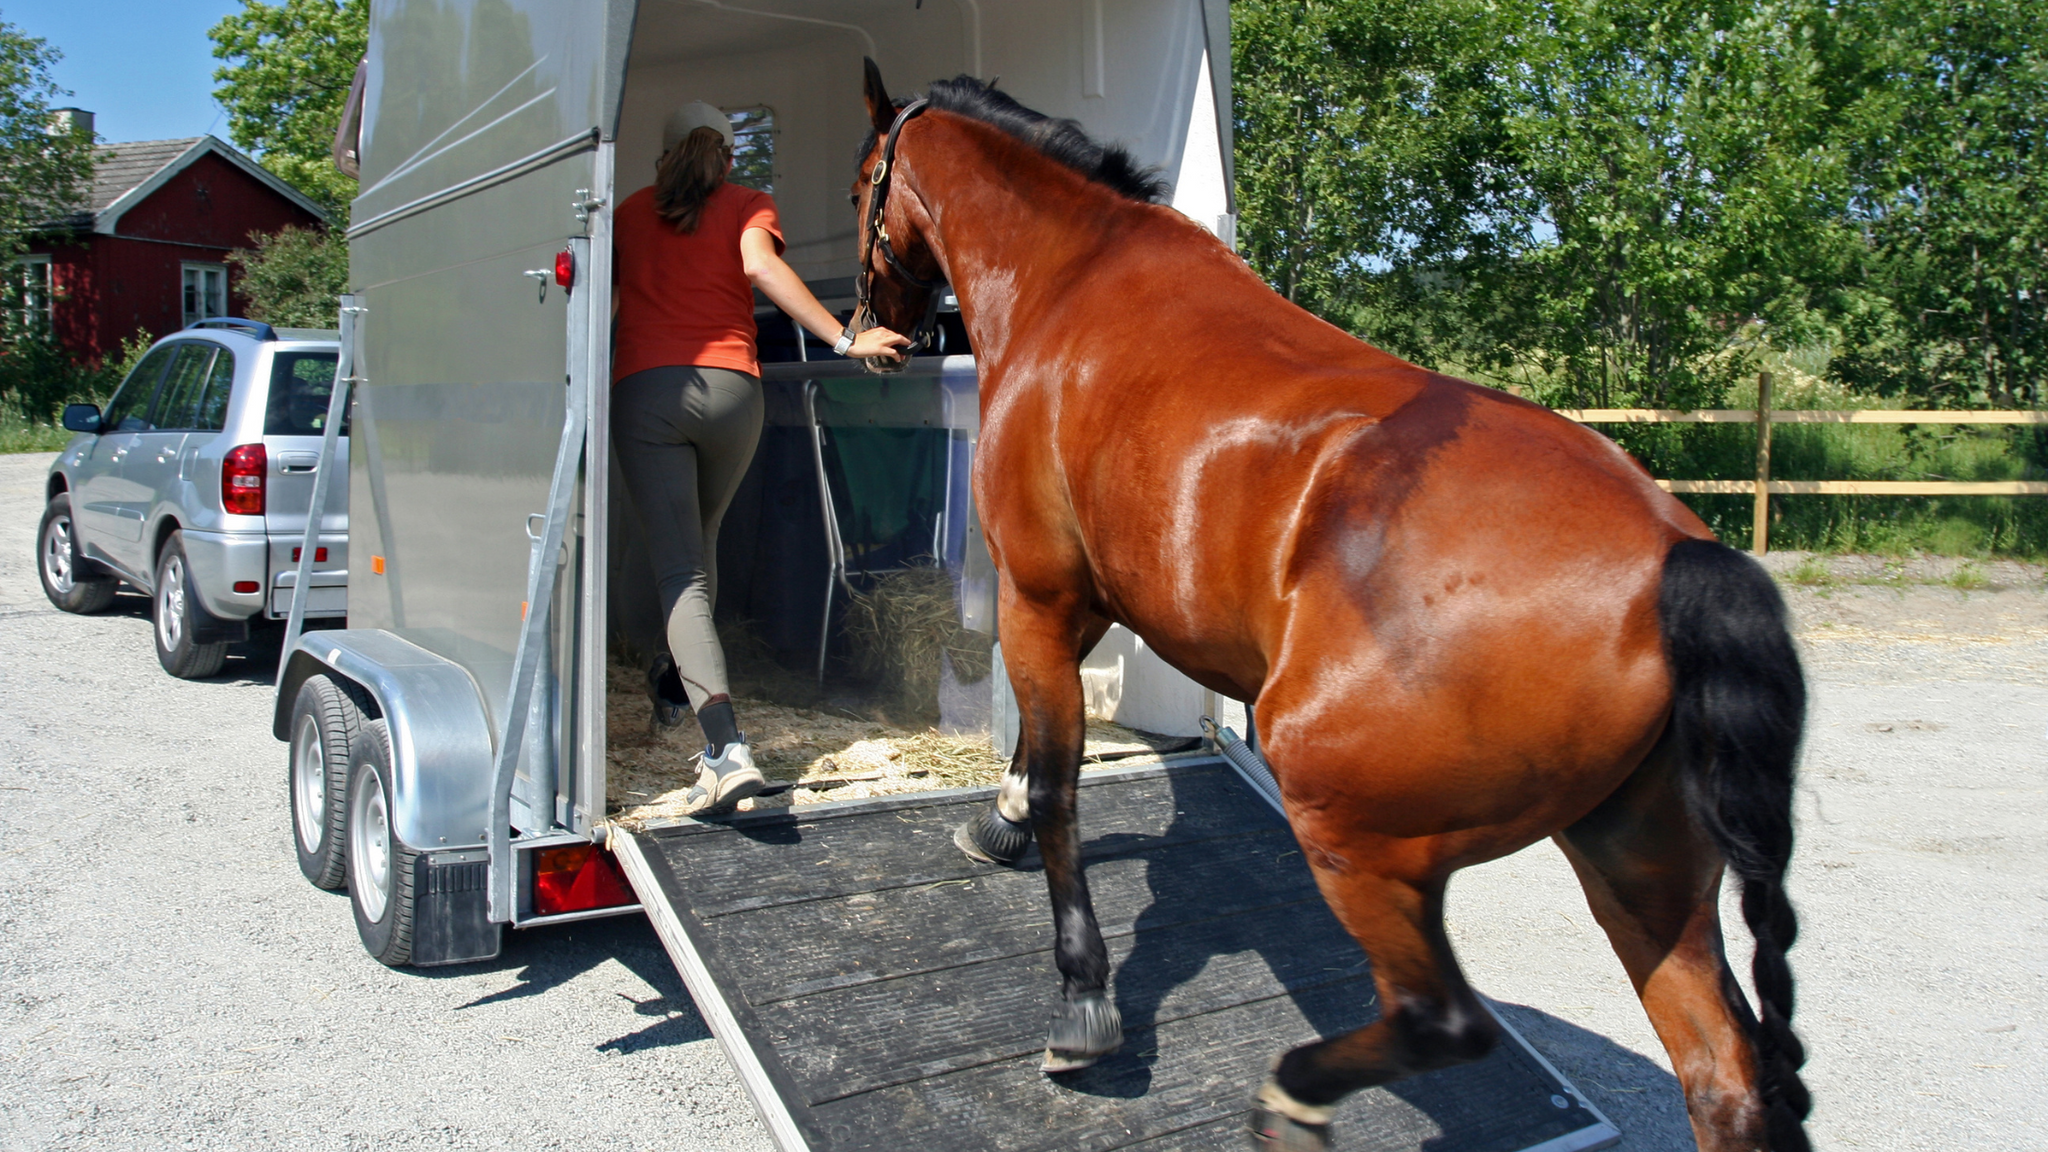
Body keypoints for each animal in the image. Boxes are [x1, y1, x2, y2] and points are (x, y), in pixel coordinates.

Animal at [847, 62, 1810, 1152]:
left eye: (862, 185)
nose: (872, 332)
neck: (1074, 283)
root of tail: (1680, 557)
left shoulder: (1040, 594)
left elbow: (1058, 784)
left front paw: (1084, 998)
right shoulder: (1087, 597)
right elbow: (1034, 770)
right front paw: (998, 825)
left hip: (1356, 833)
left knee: (1443, 1021)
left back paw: (1292, 1097)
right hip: (1641, 872)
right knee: (1723, 1074)